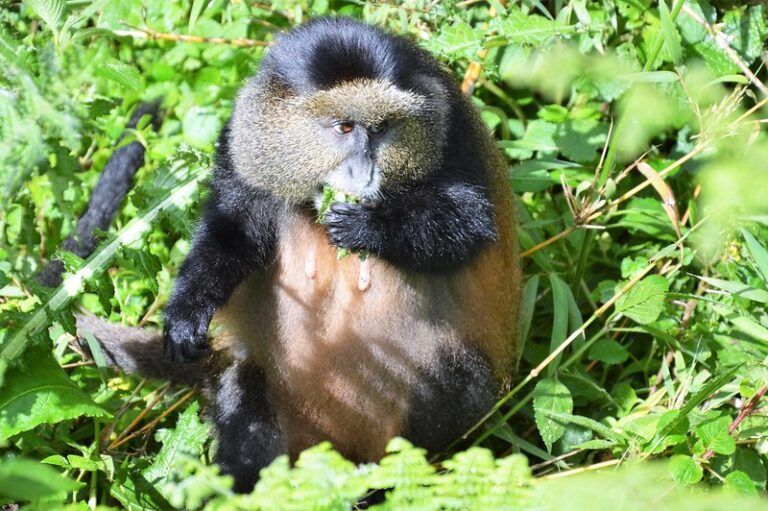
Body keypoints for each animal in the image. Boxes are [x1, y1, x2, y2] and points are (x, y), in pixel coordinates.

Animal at [78, 16, 521, 493]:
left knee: (458, 379)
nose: (364, 171)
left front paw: (368, 227)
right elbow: (233, 233)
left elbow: (469, 224)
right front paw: (185, 313)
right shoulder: (241, 142)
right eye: (344, 128)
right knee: (243, 384)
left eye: (381, 128)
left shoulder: (454, 129)